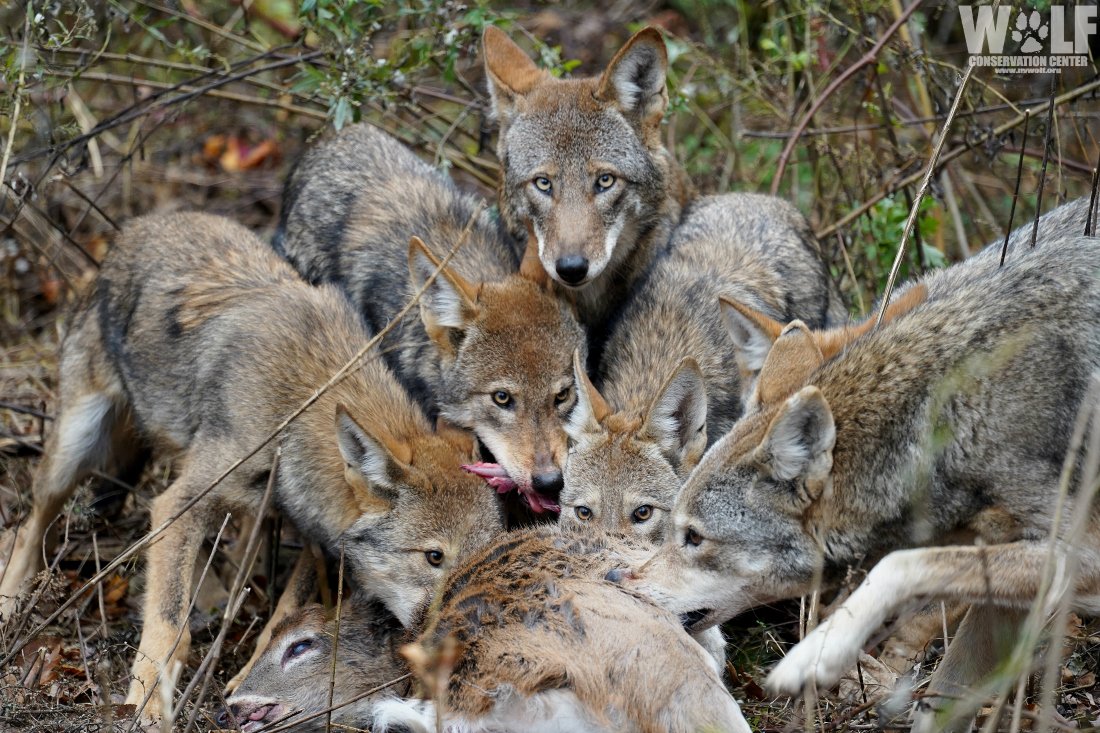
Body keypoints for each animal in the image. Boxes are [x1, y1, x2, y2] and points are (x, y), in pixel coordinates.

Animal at [0, 213, 503, 722]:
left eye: (490, 552)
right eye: (434, 558)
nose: (467, 645)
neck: (295, 407)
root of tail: (143, 224)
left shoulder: (310, 527)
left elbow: (285, 612)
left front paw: (249, 679)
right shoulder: (179, 503)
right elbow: (169, 625)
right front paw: (149, 705)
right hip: (75, 450)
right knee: (27, 527)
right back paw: (9, 599)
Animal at [622, 218, 1100, 729]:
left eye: (694, 537)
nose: (614, 577)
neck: (942, 421)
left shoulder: (1082, 555)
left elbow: (900, 565)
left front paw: (820, 652)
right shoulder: (1004, 592)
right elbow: (943, 699)